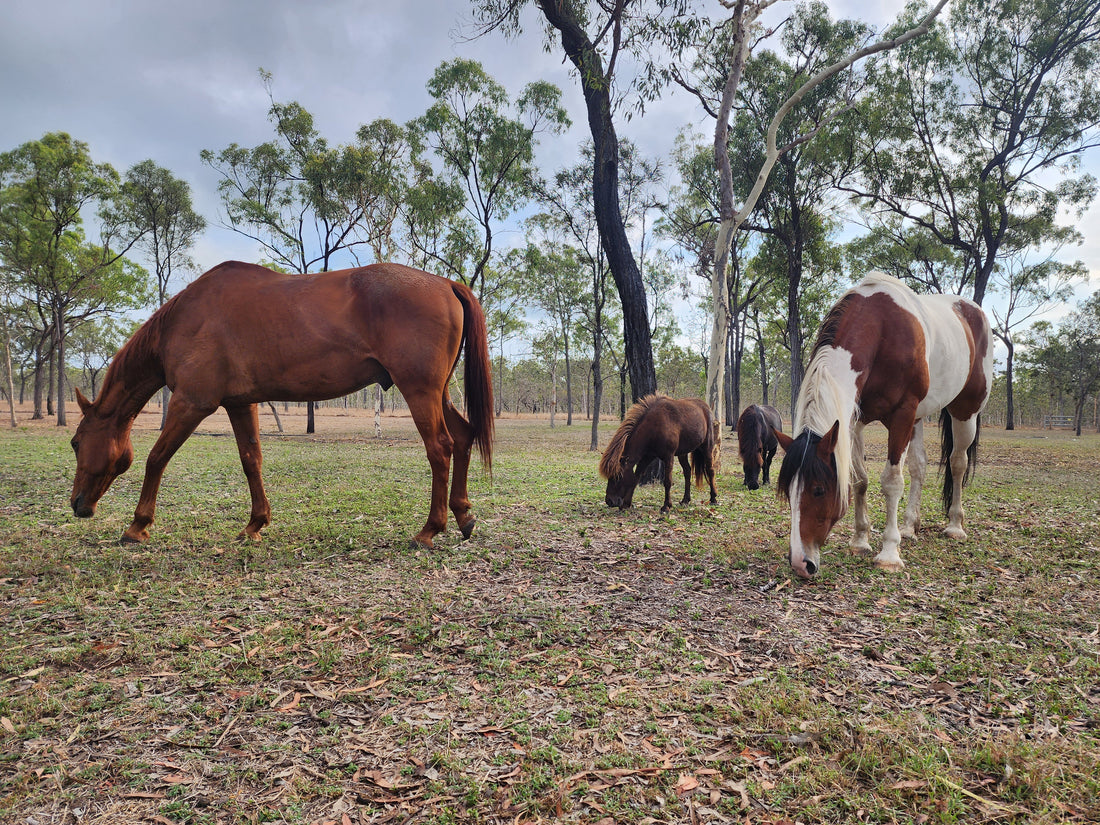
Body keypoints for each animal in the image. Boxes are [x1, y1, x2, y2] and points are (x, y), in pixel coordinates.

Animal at [69, 260, 494, 550]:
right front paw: (255, 524)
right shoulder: (241, 405)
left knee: (440, 448)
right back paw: (463, 515)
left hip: (419, 391)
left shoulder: (192, 403)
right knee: (463, 437)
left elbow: (156, 458)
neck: (185, 319)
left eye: (75, 443)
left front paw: (138, 525)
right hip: (437, 392)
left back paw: (429, 530)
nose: (77, 505)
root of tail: (446, 283)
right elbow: (251, 461)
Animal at [775, 272, 992, 579]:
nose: (799, 562)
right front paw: (860, 541)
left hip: (965, 412)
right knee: (919, 467)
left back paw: (954, 526)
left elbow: (891, 482)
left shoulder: (902, 415)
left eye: (818, 490)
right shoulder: (853, 420)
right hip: (918, 418)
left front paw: (889, 553)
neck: (881, 329)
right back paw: (909, 526)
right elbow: (859, 479)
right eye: (788, 491)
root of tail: (972, 310)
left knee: (958, 463)